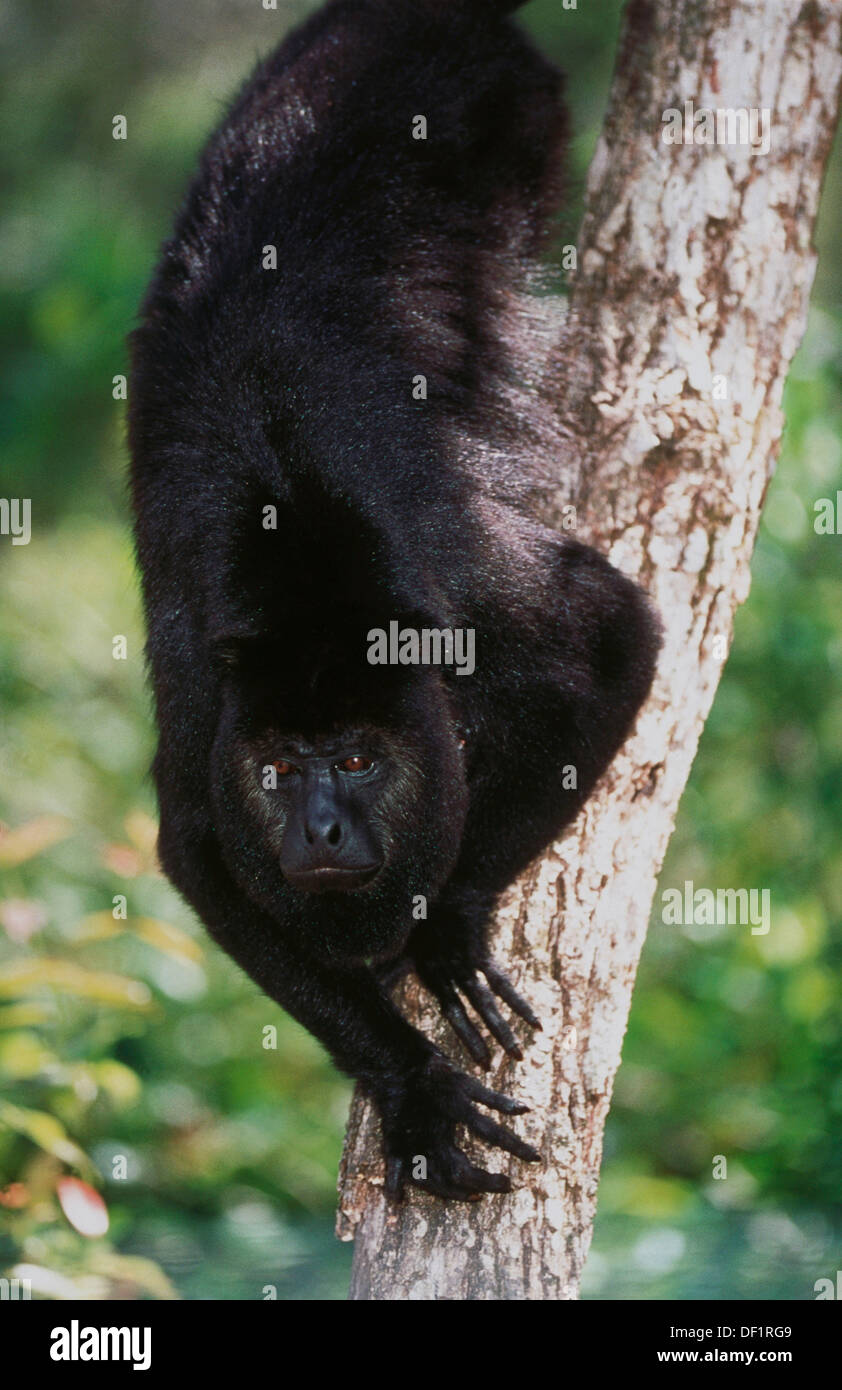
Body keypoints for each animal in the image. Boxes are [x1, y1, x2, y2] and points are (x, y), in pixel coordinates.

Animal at [128, 0, 661, 1201]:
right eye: (281, 768)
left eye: (362, 758)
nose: (320, 826)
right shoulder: (200, 665)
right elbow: (195, 844)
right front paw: (409, 1080)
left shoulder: (457, 579)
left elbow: (613, 632)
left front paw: (448, 926)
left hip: (507, 115)